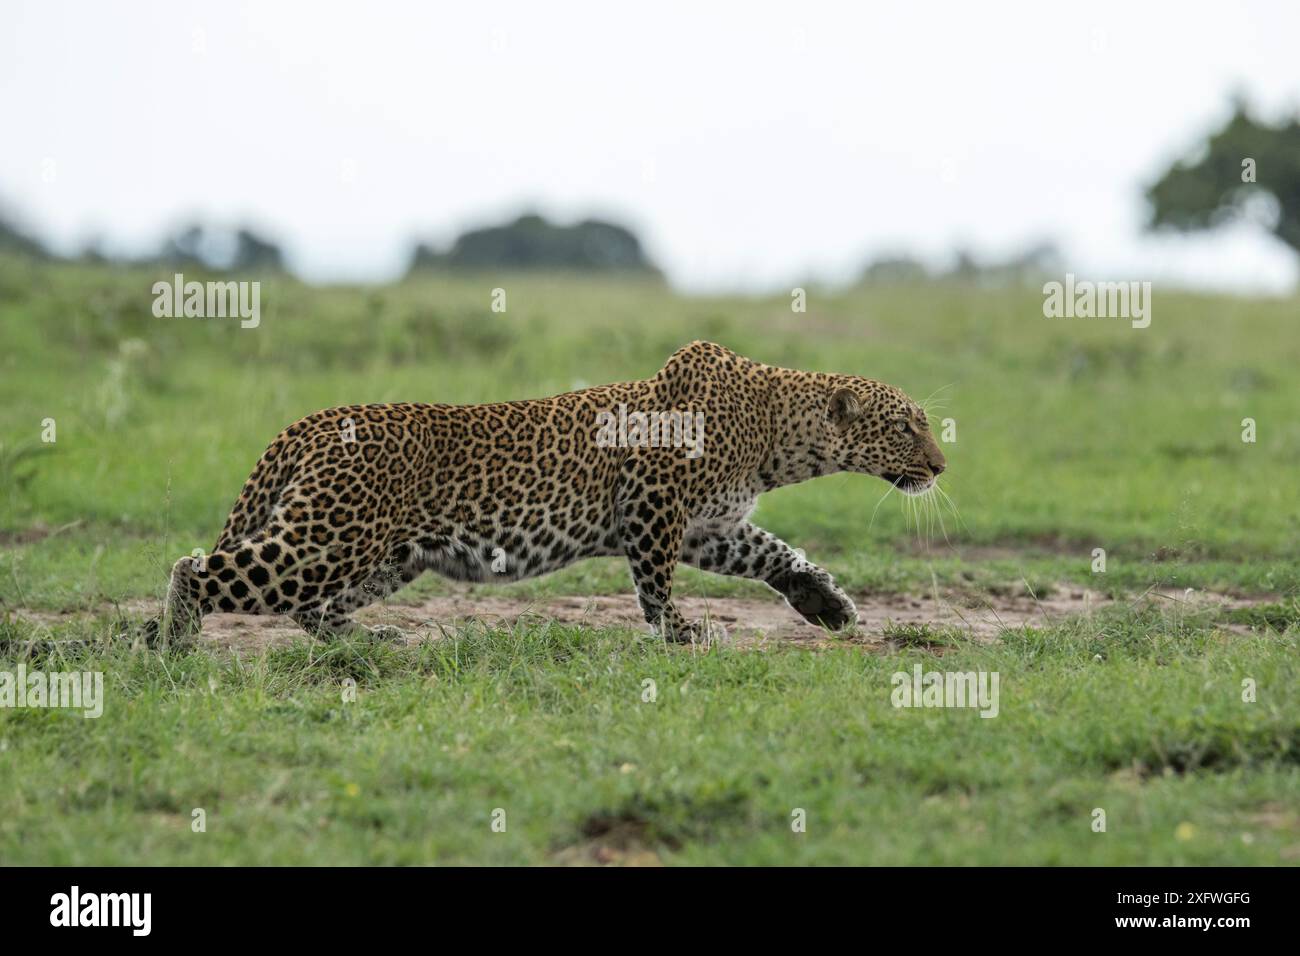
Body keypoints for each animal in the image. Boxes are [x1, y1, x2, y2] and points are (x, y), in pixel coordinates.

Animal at [148, 340, 946, 646]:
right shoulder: (653, 503)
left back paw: (368, 643)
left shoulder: (709, 526)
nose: (940, 466)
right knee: (200, 570)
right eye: (907, 426)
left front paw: (826, 604)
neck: (775, 432)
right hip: (330, 538)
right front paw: (679, 631)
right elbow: (654, 580)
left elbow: (777, 553)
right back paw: (177, 643)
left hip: (384, 555)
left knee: (309, 607)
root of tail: (307, 423)